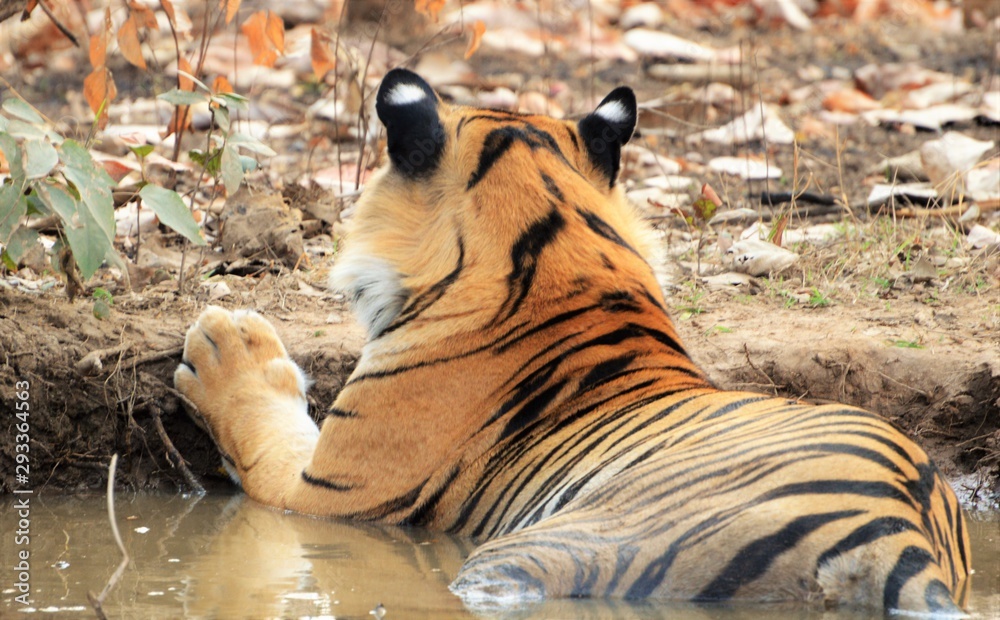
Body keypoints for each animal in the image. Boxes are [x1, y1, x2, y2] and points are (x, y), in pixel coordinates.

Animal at [174, 68, 971, 614]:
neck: (563, 248)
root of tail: (898, 529)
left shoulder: (325, 495)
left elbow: (263, 431)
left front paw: (225, 344)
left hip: (531, 551)